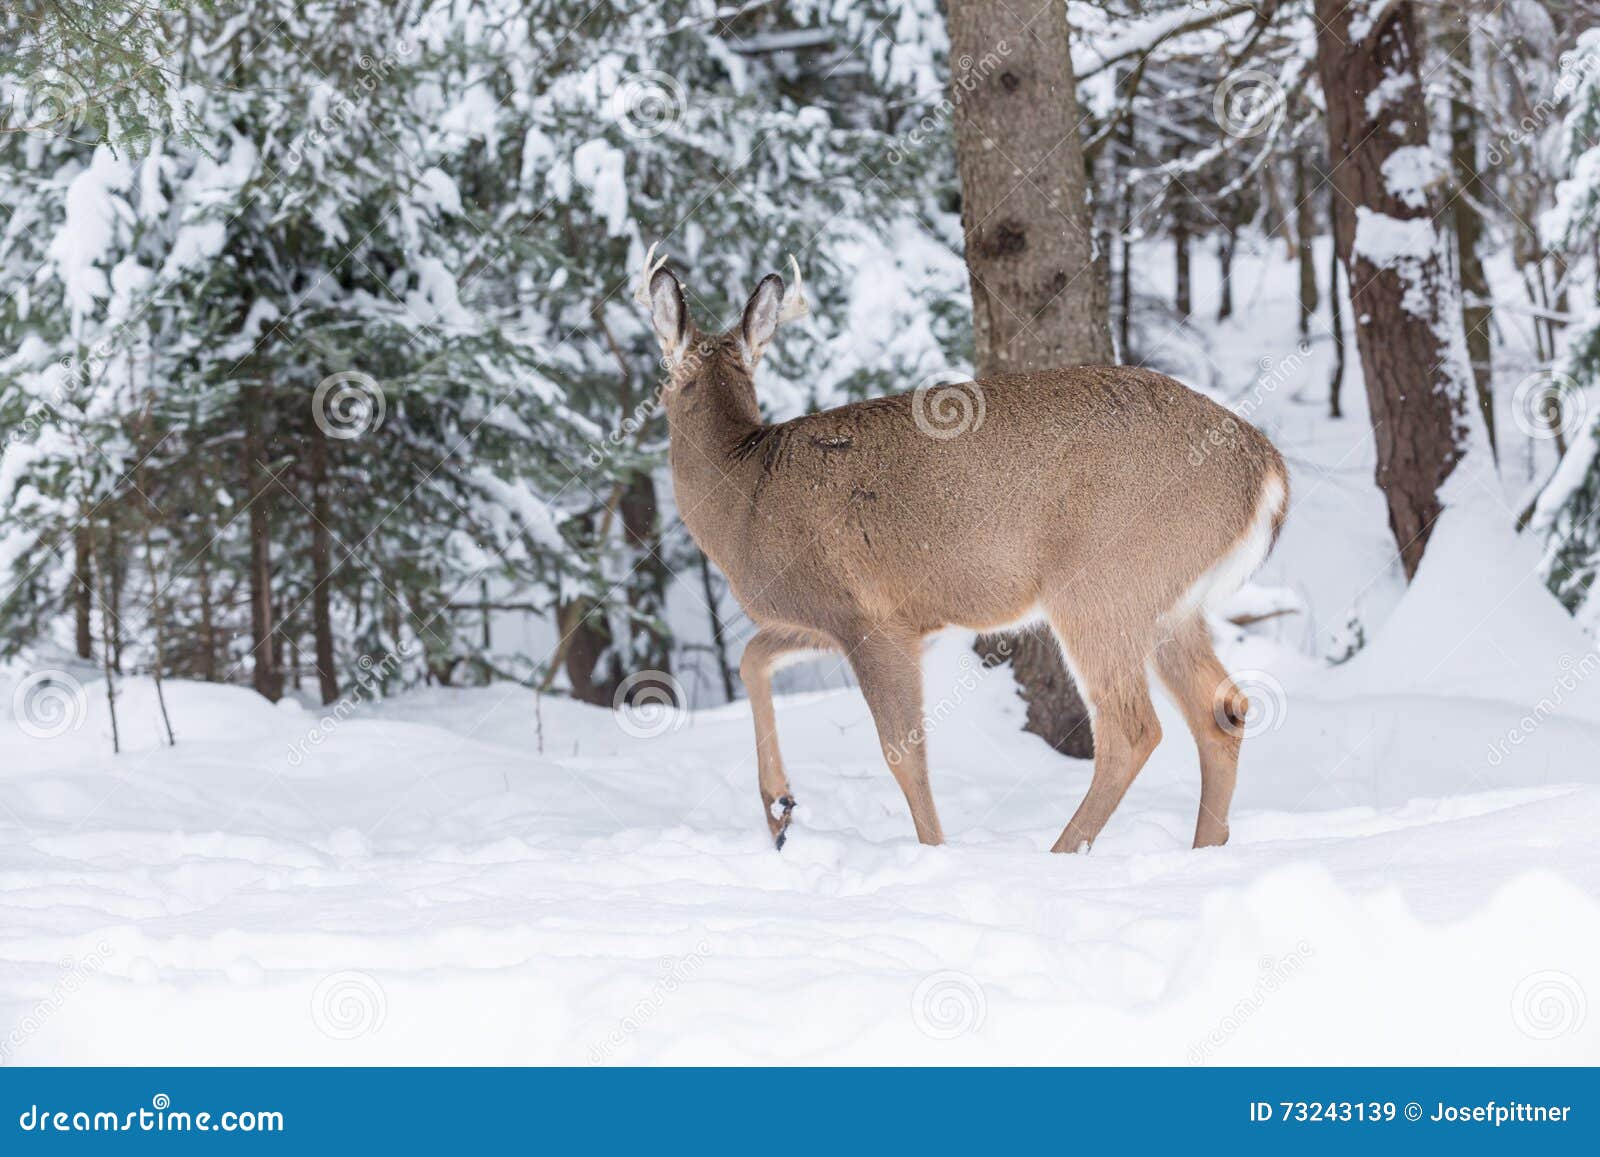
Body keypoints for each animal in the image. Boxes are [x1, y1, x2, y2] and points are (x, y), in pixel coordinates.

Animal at [634, 246, 1288, 854]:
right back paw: (1203, 848)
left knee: (1133, 728)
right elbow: (752, 658)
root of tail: (1266, 471)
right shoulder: (829, 618)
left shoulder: (868, 616)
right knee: (1224, 709)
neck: (745, 493)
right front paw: (779, 809)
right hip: (1171, 603)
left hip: (1102, 583)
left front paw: (932, 853)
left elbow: (902, 751)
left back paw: (1060, 856)